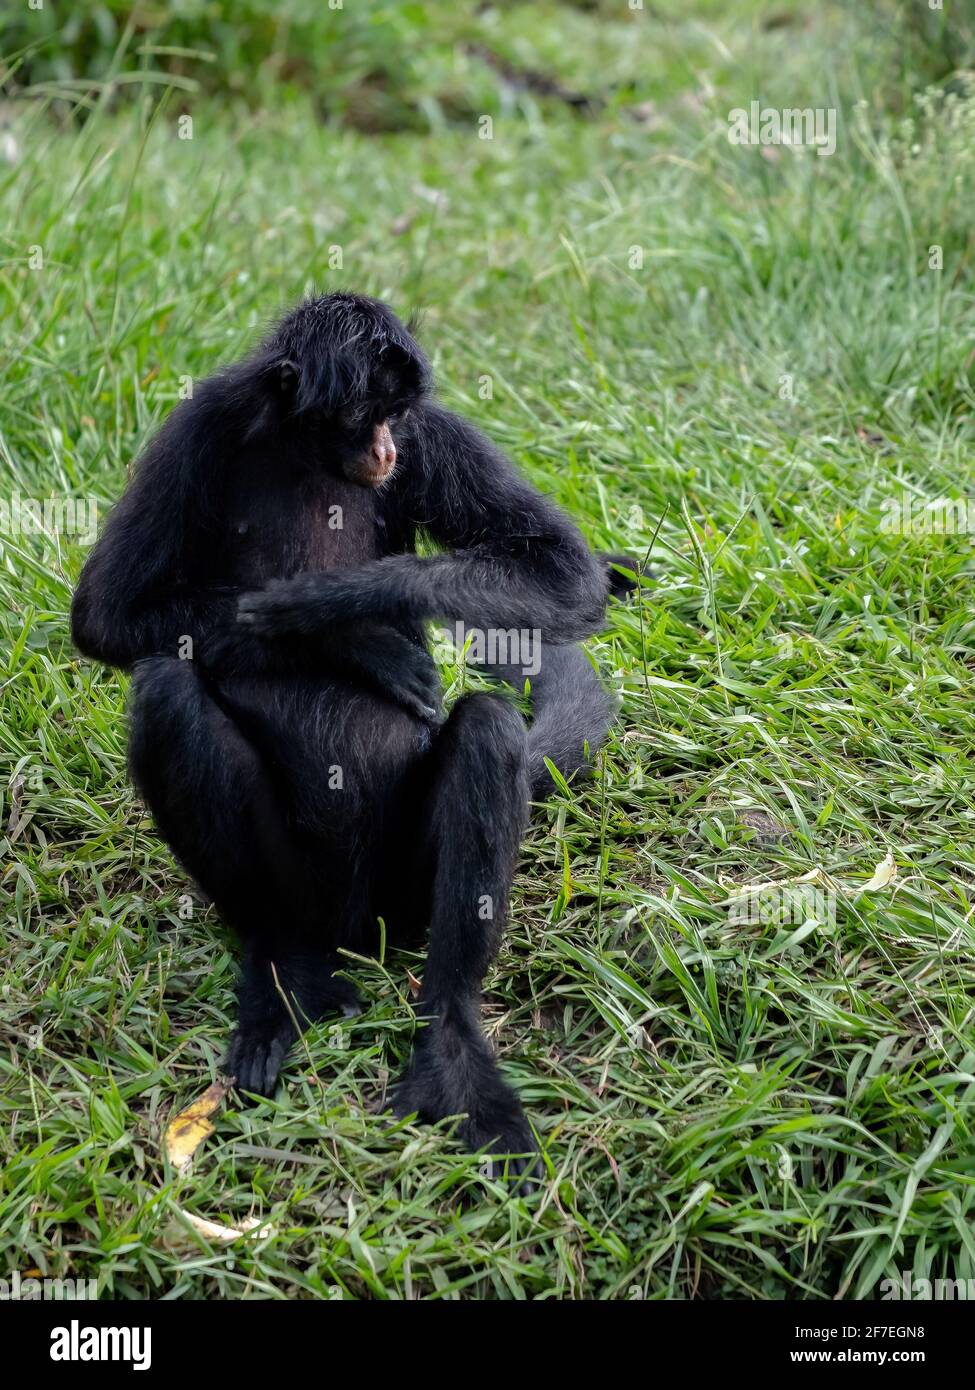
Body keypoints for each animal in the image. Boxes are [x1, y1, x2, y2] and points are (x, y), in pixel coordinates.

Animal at [72, 292, 635, 1171]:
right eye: (362, 413)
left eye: (396, 414)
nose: (385, 448)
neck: (311, 459)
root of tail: (348, 923)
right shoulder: (202, 422)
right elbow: (105, 615)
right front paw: (349, 639)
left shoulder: (432, 435)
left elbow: (564, 571)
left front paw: (336, 607)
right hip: (298, 882)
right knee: (164, 686)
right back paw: (285, 972)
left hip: (402, 891)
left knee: (487, 726)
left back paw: (449, 1043)